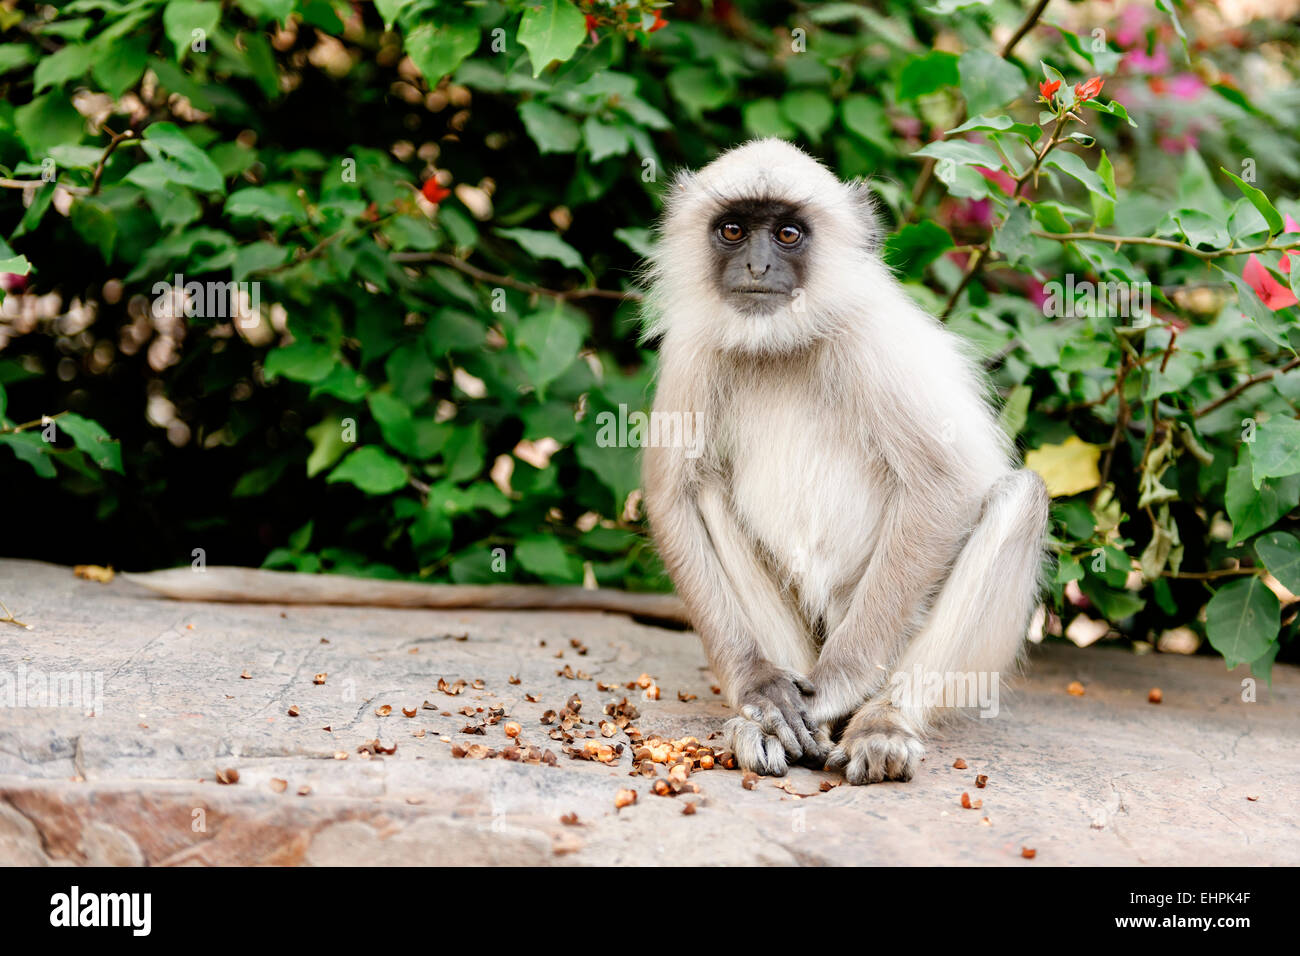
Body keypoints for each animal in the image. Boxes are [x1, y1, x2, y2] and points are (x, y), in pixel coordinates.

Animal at [641, 138, 1050, 785]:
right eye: (733, 230)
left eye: (787, 234)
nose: (757, 269)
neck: (782, 342)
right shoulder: (691, 344)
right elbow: (671, 493)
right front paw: (760, 691)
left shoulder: (869, 337)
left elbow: (946, 484)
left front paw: (837, 684)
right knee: (704, 487)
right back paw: (768, 725)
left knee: (1021, 497)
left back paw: (879, 722)